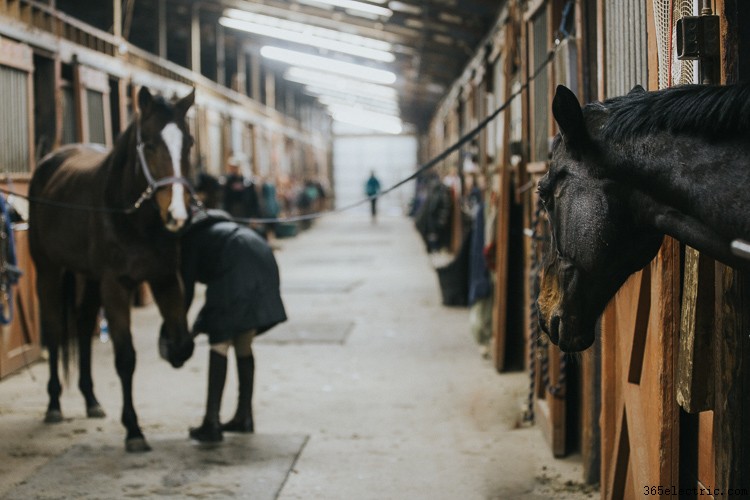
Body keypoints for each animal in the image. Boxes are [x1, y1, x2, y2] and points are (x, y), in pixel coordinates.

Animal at [29, 87, 197, 454]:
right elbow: (125, 358)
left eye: (189, 142)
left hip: (90, 278)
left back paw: (91, 400)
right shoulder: (116, 286)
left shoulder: (166, 278)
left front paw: (170, 349)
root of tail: (51, 161)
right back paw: (53, 406)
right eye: (149, 143)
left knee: (82, 326)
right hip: (48, 269)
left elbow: (183, 344)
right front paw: (133, 430)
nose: (177, 215)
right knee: (54, 329)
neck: (131, 216)